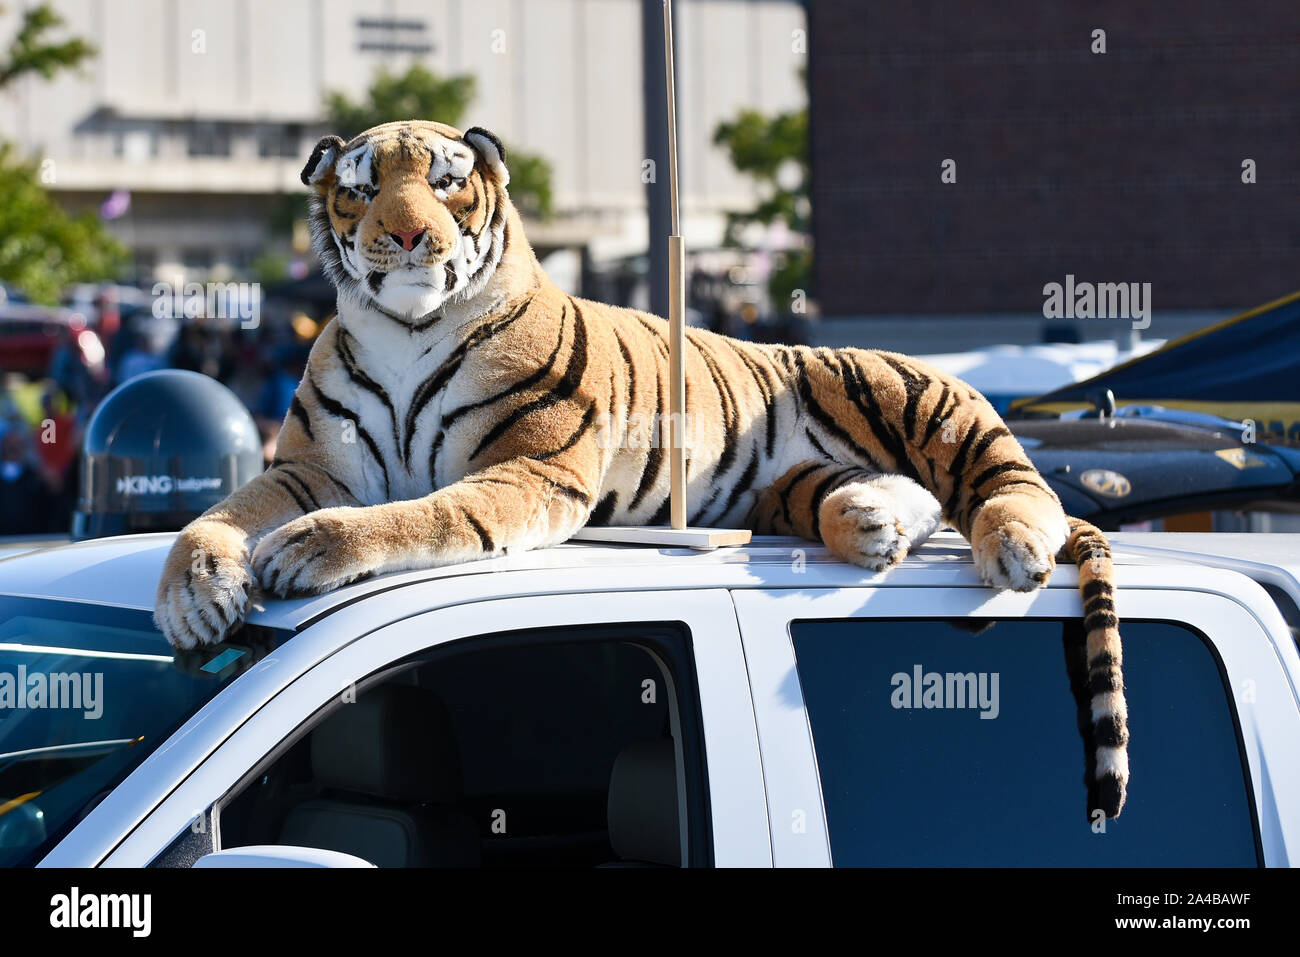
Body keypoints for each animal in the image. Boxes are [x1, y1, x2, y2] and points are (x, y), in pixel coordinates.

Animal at [154, 119, 1129, 818]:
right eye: (362, 189)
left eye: (444, 182)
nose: (404, 234)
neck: (402, 330)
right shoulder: (313, 464)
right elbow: (219, 514)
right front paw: (197, 590)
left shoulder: (528, 469)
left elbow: (419, 513)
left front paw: (310, 549)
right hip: (787, 487)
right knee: (900, 497)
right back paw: (871, 524)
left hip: (904, 389)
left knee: (1013, 481)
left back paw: (1011, 544)